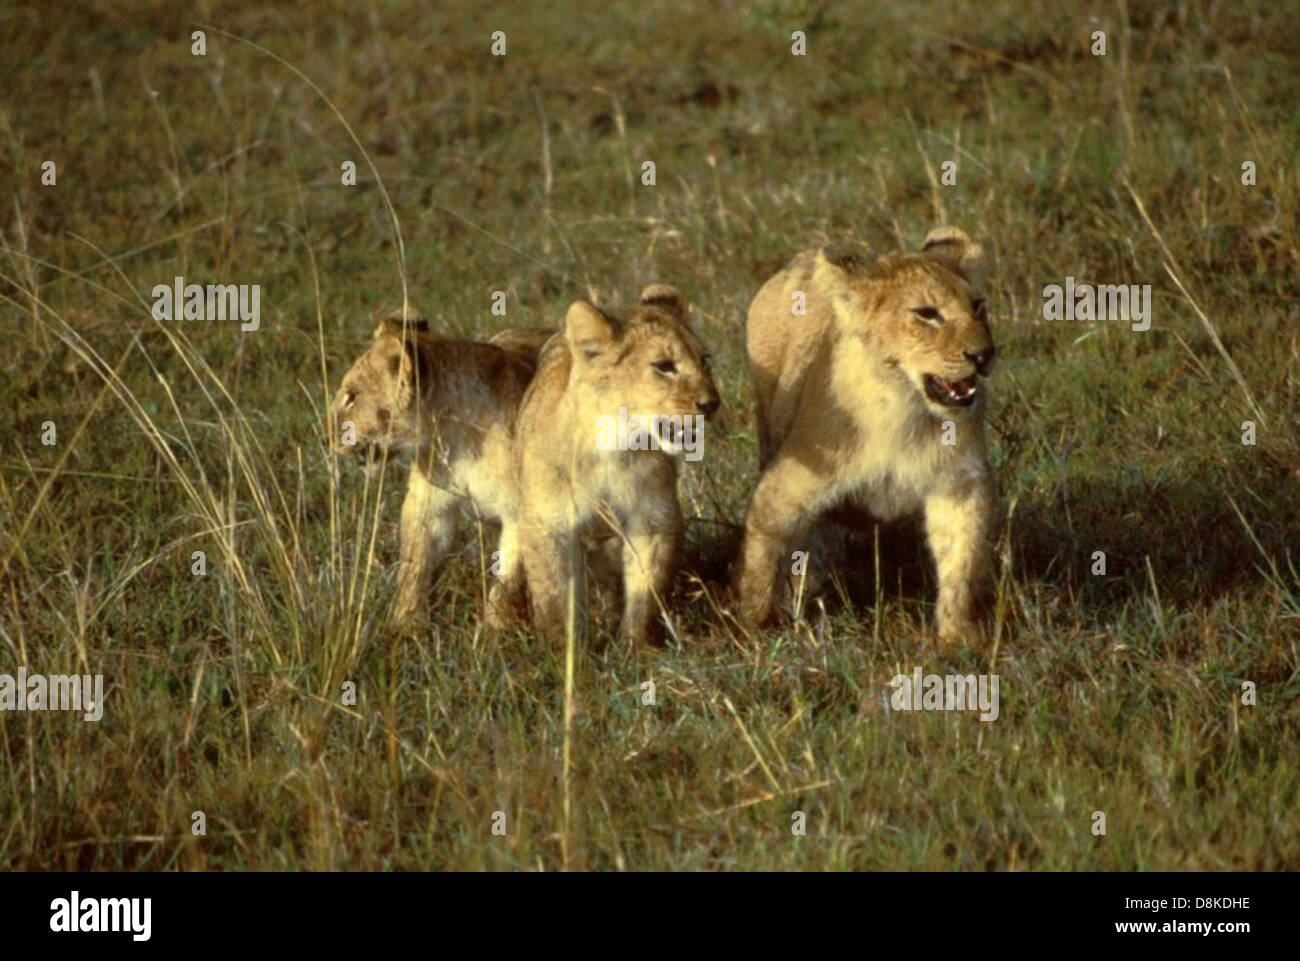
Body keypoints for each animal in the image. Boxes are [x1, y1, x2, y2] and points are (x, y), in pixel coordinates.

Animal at [328, 312, 553, 629]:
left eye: (351, 397)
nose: (325, 437)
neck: (456, 437)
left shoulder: (525, 513)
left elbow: (508, 583)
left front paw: (494, 632)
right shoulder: (427, 506)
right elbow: (415, 568)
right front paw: (405, 625)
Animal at [514, 285, 721, 648]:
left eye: (704, 360)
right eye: (664, 366)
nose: (711, 403)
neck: (614, 447)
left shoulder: (651, 518)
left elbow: (644, 591)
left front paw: (634, 648)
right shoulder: (547, 523)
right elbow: (554, 598)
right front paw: (562, 651)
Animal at [734, 227, 997, 645]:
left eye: (978, 307)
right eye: (927, 314)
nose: (984, 354)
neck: (903, 406)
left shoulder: (959, 486)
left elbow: (961, 563)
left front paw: (958, 639)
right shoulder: (785, 486)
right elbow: (763, 555)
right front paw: (755, 629)